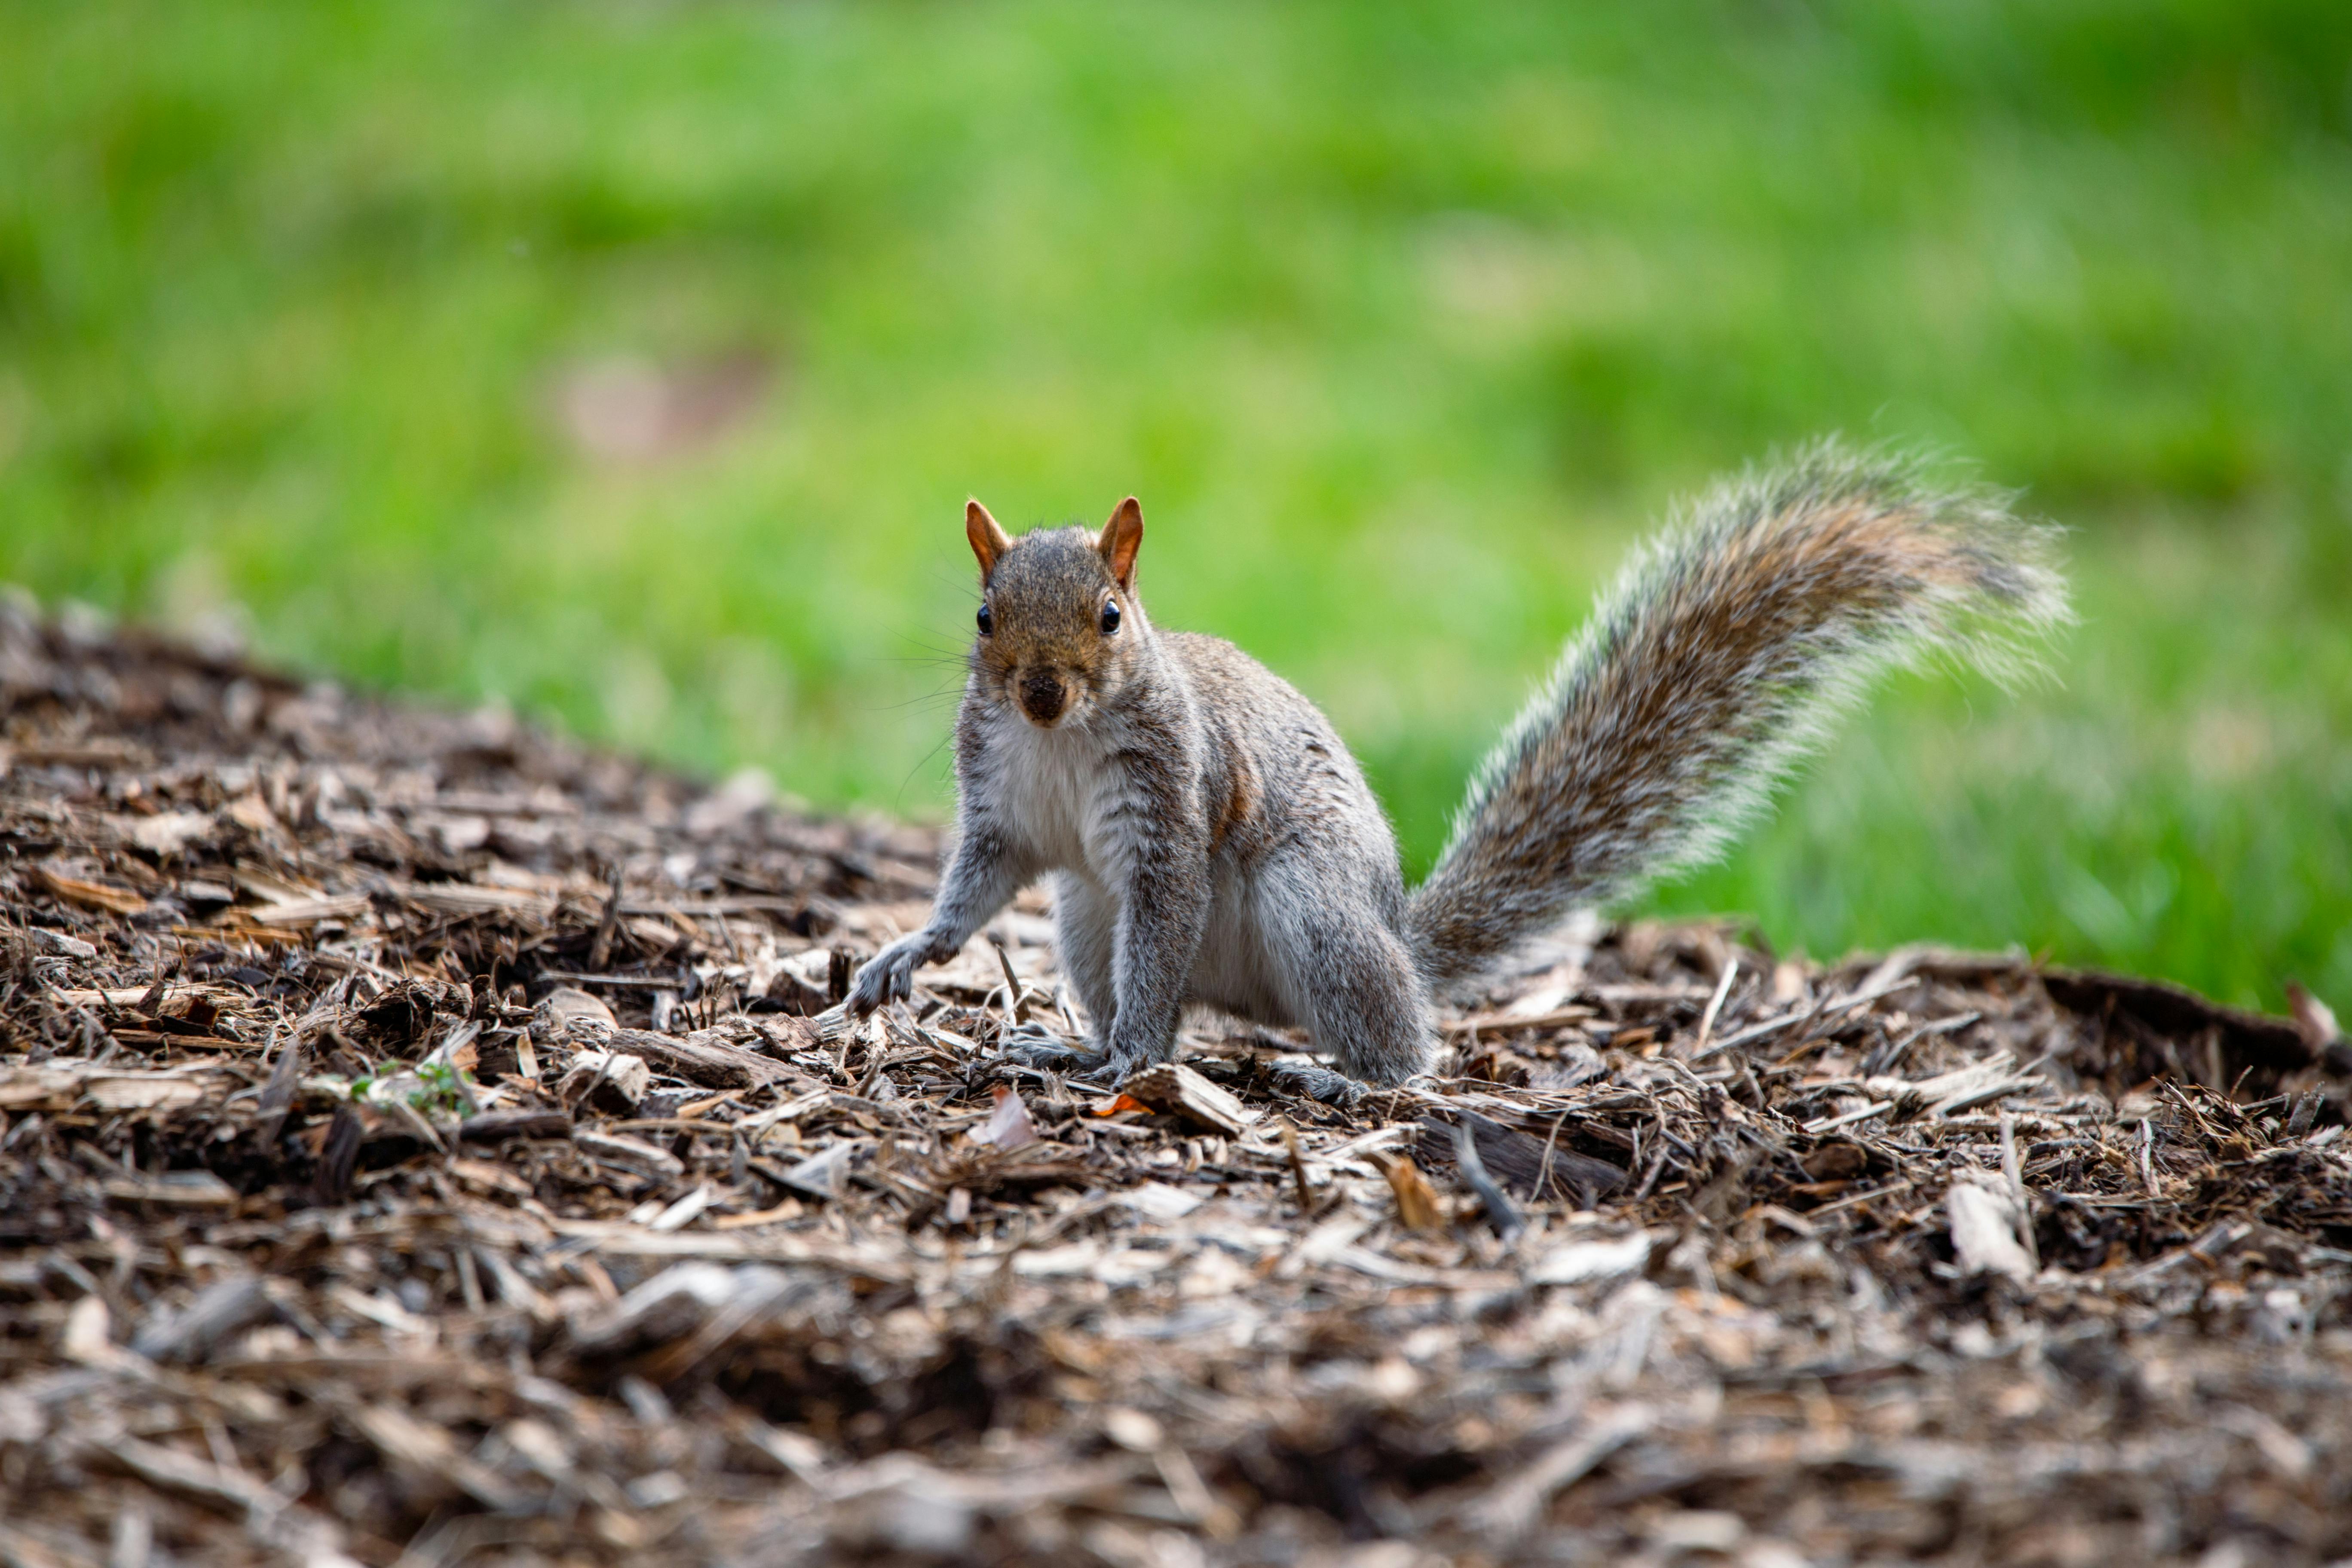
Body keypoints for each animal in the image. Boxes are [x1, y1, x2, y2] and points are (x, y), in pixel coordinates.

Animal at [849, 444, 2068, 1088]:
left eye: (1110, 616)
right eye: (984, 616)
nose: (1040, 692)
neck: (1059, 741)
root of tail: (1400, 935)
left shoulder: (1172, 811)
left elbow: (1163, 941)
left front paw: (1132, 1065)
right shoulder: (1004, 805)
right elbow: (976, 884)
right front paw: (909, 953)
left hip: (1309, 908)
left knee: (1399, 1049)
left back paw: (1327, 1067)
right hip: (1082, 916)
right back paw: (1064, 1050)